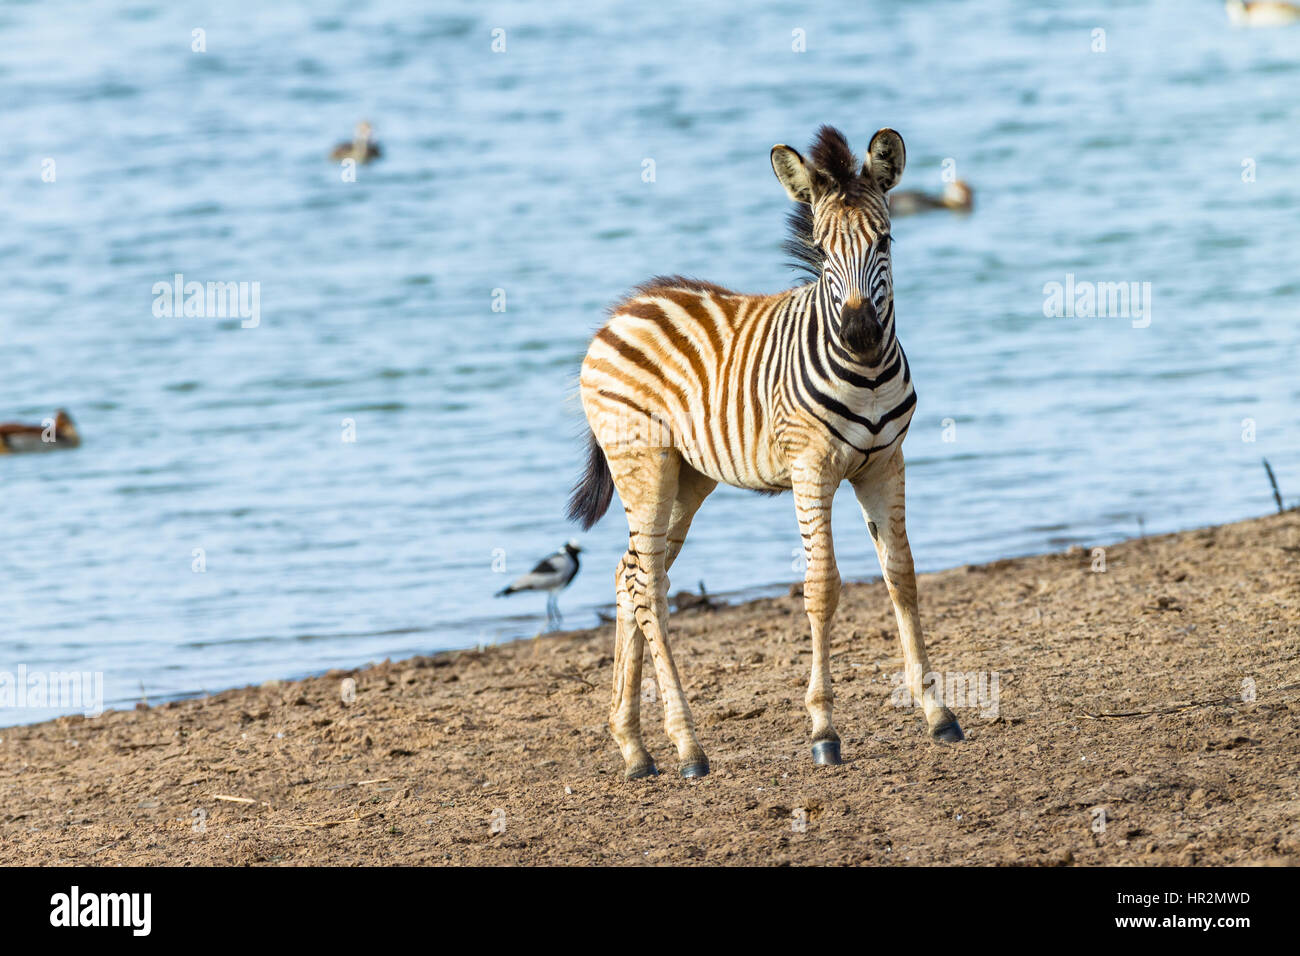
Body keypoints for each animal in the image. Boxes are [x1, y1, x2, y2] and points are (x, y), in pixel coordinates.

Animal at [568, 126, 965, 780]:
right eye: (823, 250)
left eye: (884, 241)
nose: (860, 334)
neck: (865, 373)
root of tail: (622, 311)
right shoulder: (811, 467)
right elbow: (821, 586)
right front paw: (824, 731)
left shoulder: (885, 464)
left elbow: (902, 576)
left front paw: (939, 715)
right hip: (643, 465)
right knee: (648, 587)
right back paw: (687, 748)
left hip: (688, 477)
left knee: (630, 575)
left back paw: (634, 748)